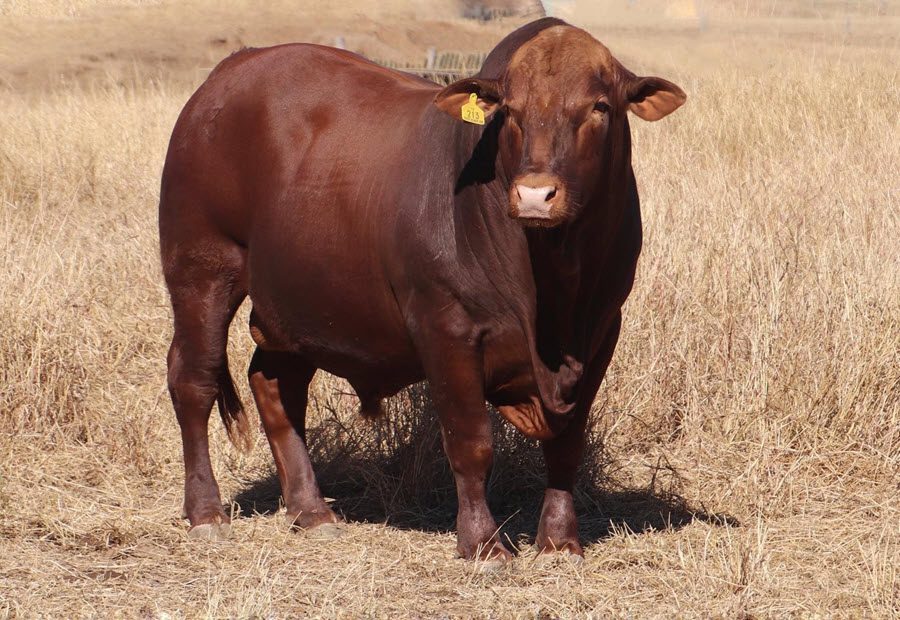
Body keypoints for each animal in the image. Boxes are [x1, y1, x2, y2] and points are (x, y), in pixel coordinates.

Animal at [159, 17, 685, 562]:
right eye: (509, 109)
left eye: (600, 106)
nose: (535, 195)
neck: (553, 281)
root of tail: (231, 70)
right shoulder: (446, 327)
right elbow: (470, 442)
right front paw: (483, 543)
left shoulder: (601, 332)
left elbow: (567, 443)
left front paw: (560, 541)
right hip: (201, 270)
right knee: (193, 379)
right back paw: (206, 513)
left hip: (298, 305)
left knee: (276, 386)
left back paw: (311, 510)